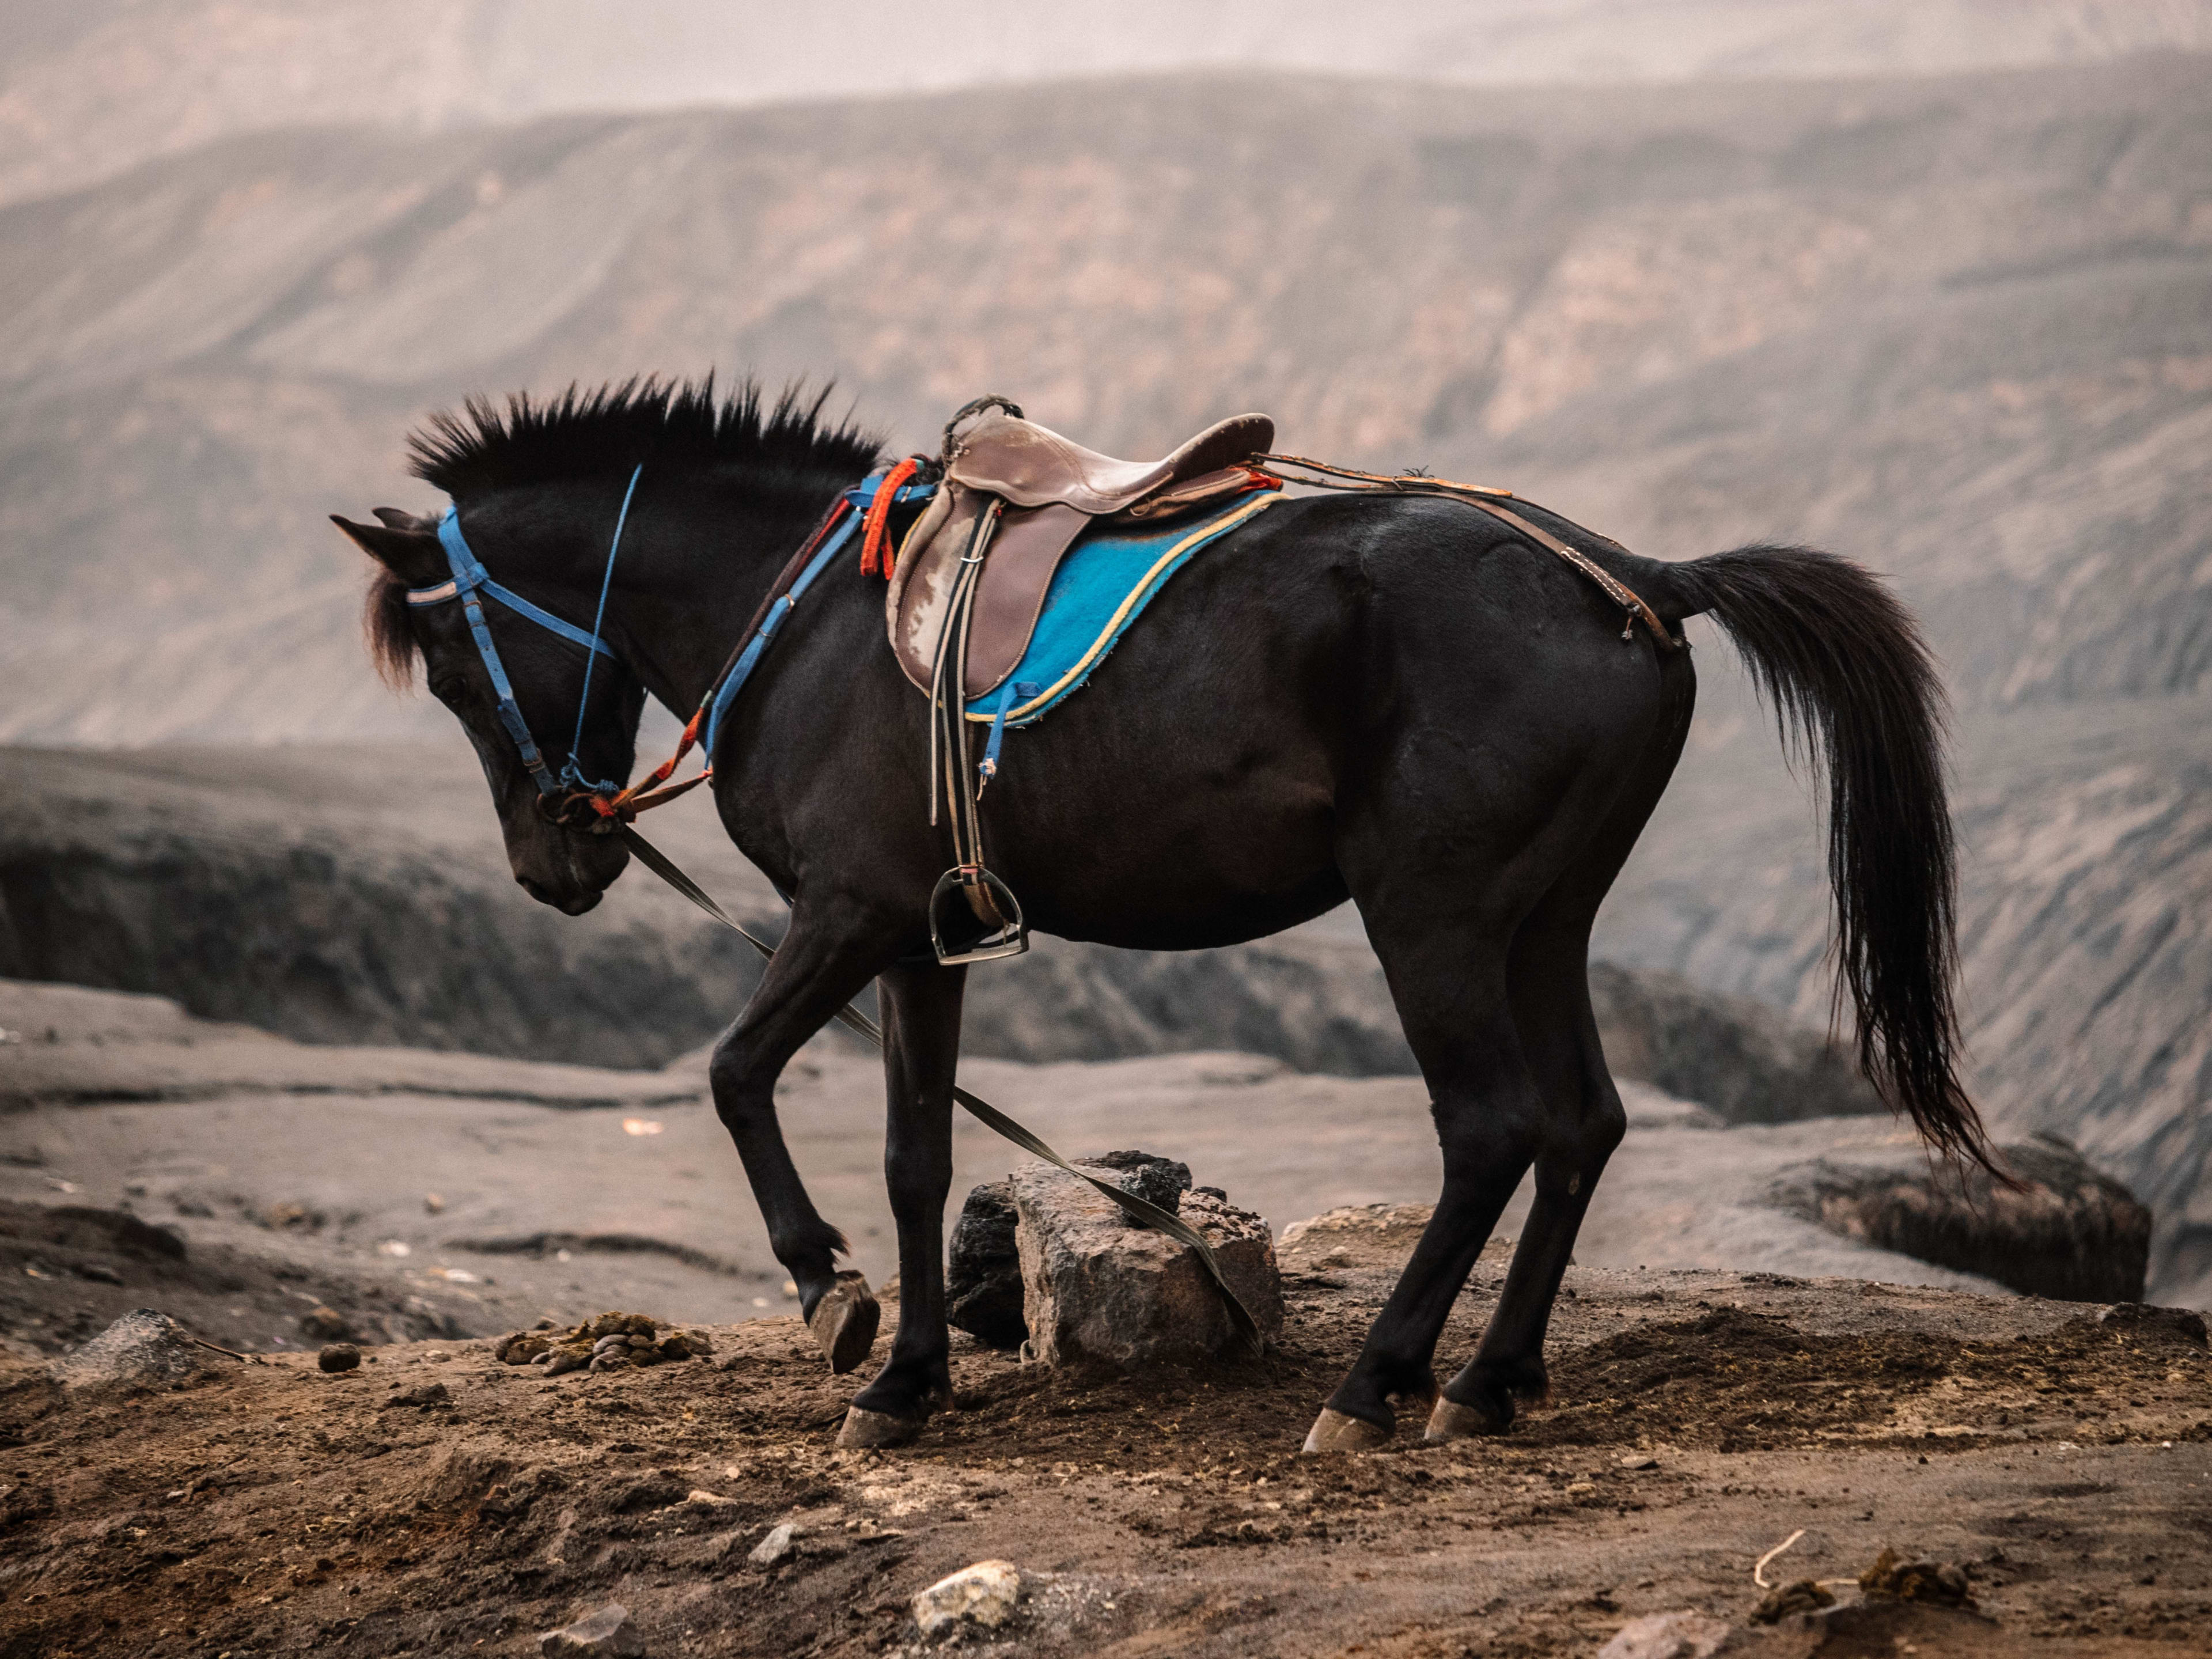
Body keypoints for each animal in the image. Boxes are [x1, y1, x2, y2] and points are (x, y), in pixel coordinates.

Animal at [334, 376, 1990, 1452]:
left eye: (456, 669)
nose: (554, 869)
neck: (803, 616)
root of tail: (1635, 577)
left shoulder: (847, 913)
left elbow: (737, 1076)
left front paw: (829, 1301)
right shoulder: (921, 940)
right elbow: (919, 1160)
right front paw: (906, 1386)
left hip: (1436, 918)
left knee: (1494, 1131)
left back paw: (1375, 1389)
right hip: (1547, 922)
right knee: (1582, 1125)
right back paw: (1489, 1383)